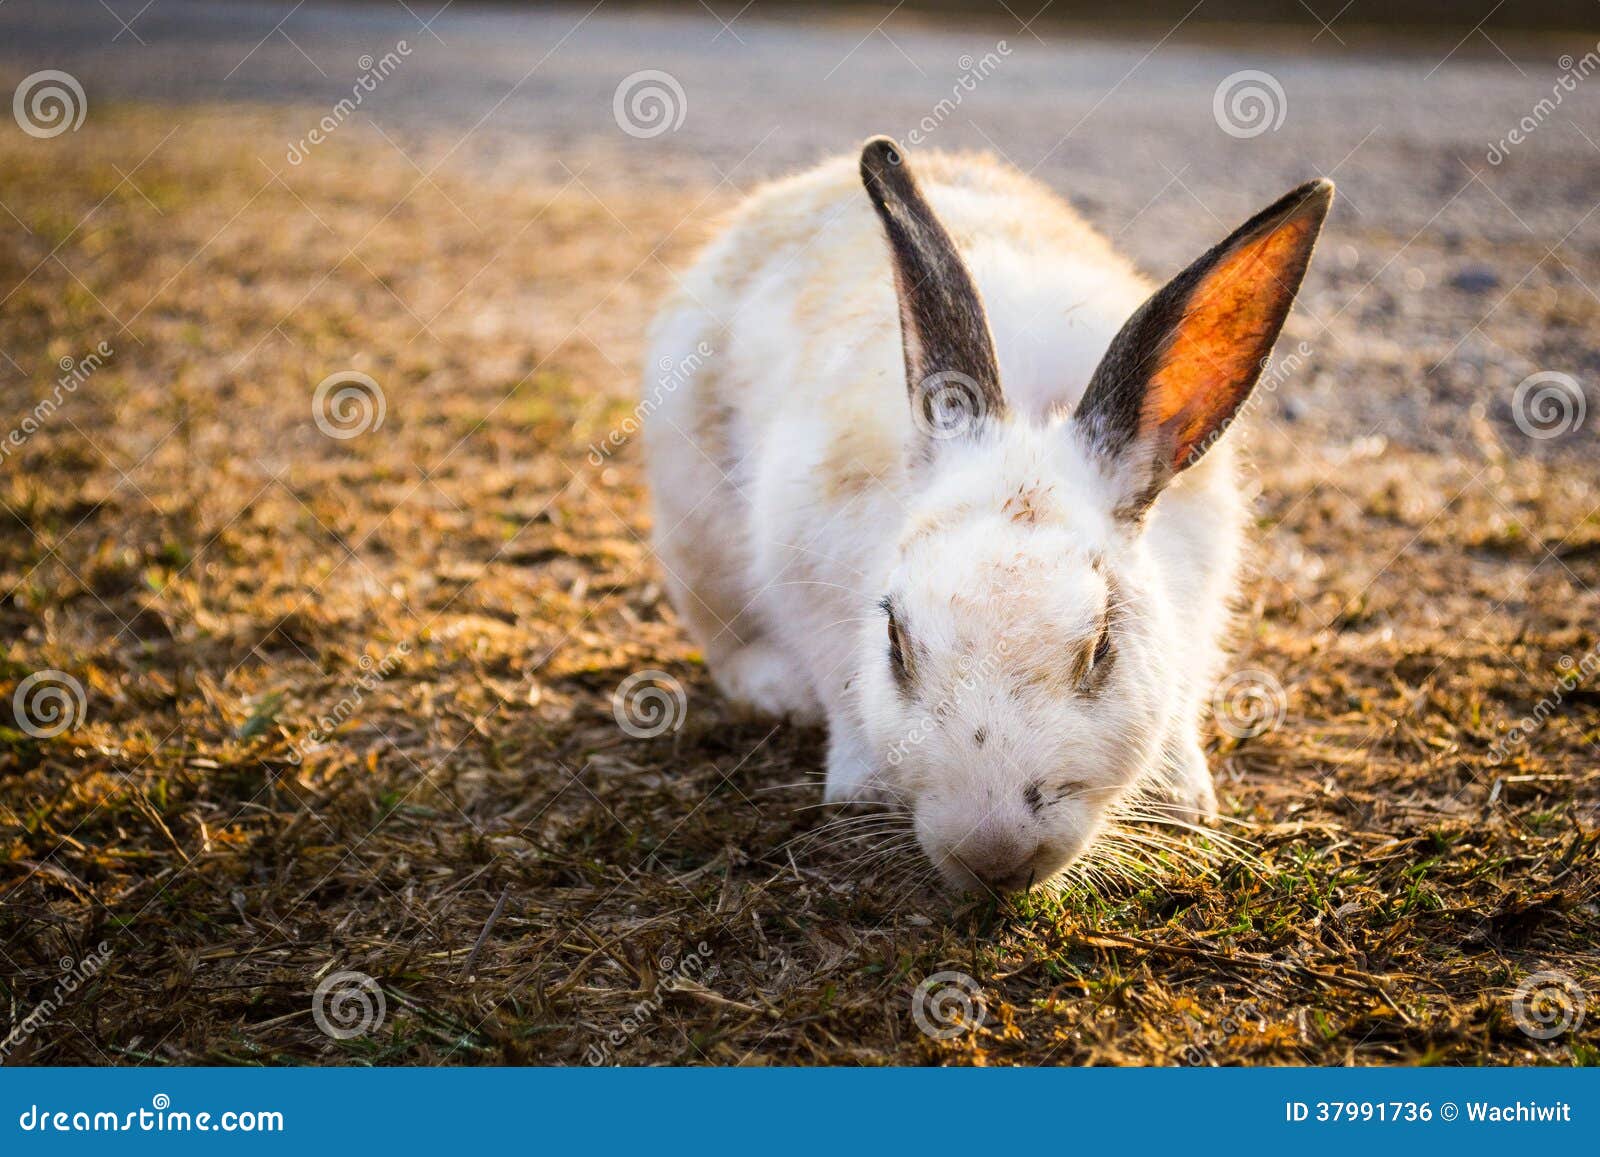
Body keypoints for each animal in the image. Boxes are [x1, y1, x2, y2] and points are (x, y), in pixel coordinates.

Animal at [644, 135, 1330, 893]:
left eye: (1102, 646)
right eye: (896, 642)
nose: (994, 855)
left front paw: (1185, 799)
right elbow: (842, 690)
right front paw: (861, 790)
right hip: (696, 542)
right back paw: (776, 690)